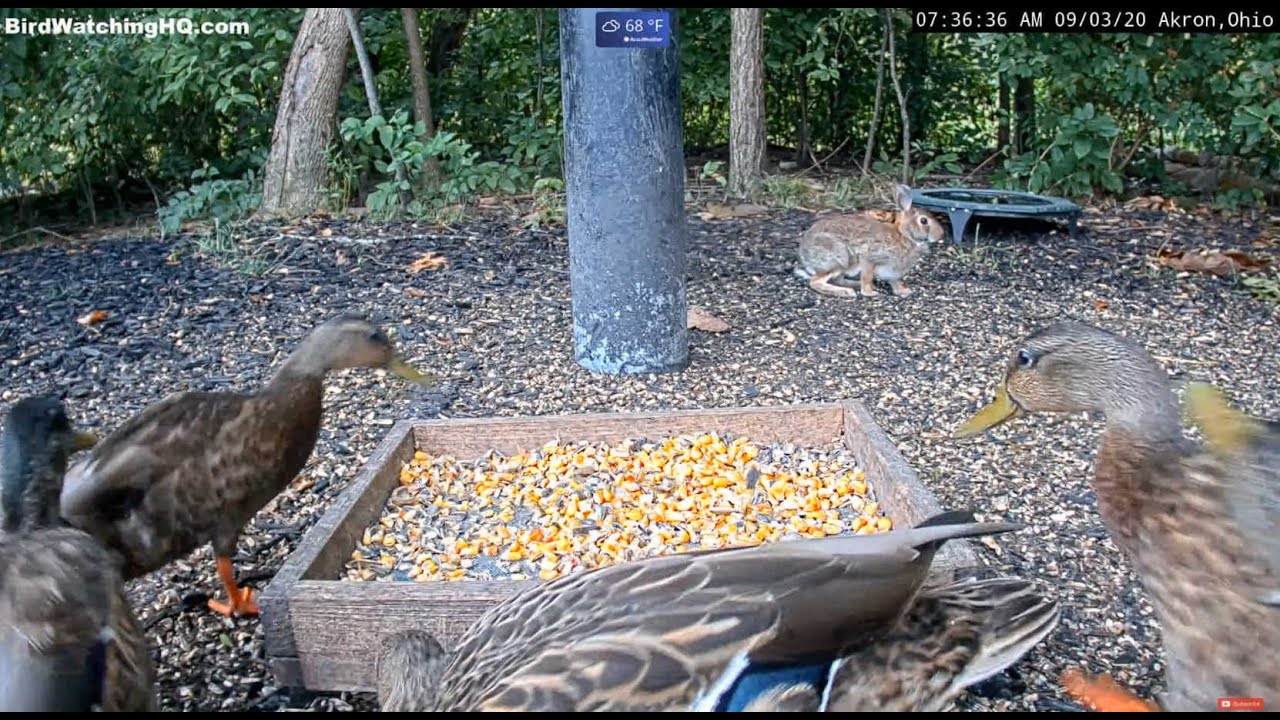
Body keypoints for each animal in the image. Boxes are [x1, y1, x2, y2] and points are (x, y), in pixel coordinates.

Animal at [793, 183, 946, 298]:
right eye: (923, 221)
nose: (941, 235)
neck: (905, 235)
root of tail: (804, 255)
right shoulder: (869, 258)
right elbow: (867, 277)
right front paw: (870, 293)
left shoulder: (893, 272)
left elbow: (895, 282)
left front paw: (903, 291)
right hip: (838, 258)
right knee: (815, 282)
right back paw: (846, 292)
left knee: (837, 279)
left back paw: (853, 285)